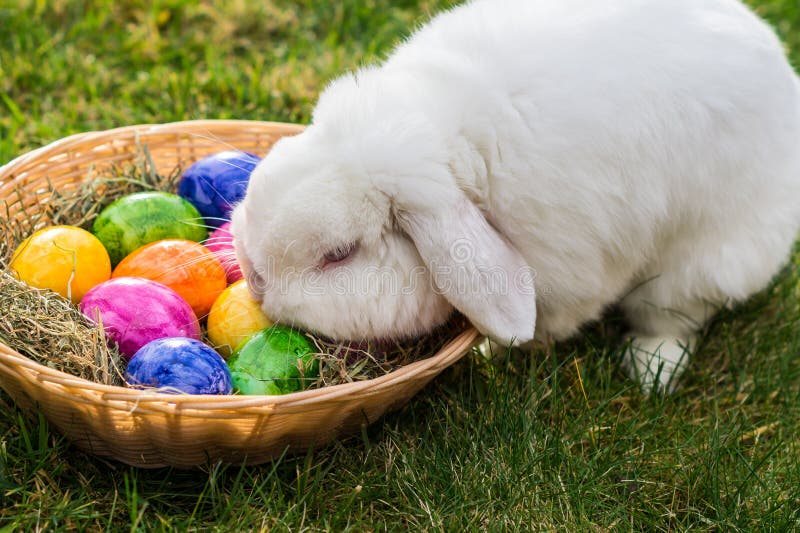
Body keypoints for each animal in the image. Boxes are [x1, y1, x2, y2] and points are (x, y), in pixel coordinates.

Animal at [231, 0, 800, 393]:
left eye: (339, 255)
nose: (256, 280)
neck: (452, 142)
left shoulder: (573, 268)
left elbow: (547, 325)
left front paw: (493, 351)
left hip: (703, 266)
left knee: (674, 319)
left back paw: (650, 373)